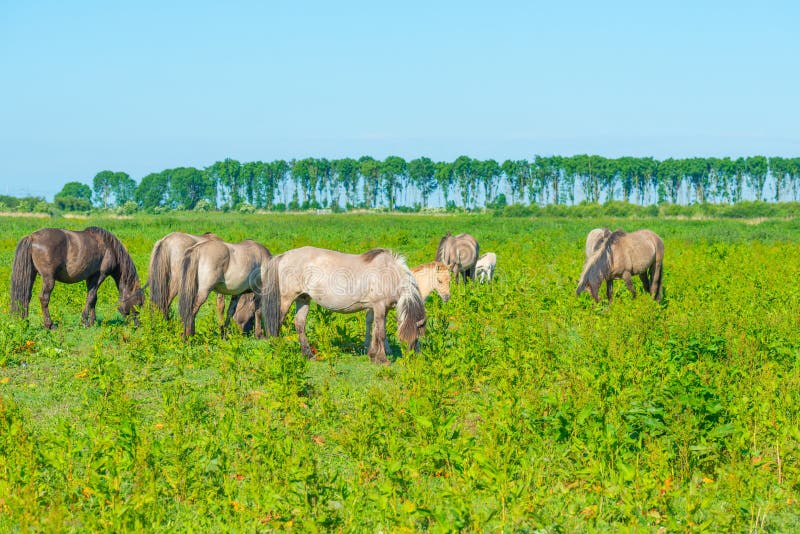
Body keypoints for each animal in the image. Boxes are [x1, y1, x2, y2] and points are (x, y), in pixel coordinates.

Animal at [10, 227, 144, 329]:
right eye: (139, 303)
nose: (137, 324)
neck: (109, 247)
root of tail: (32, 237)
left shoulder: (90, 277)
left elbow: (93, 298)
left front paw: (92, 322)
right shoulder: (100, 275)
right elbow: (91, 297)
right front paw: (85, 321)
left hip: (31, 274)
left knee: (26, 296)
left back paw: (25, 322)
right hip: (48, 279)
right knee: (44, 298)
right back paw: (50, 325)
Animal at [260, 246, 427, 364]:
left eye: (418, 337)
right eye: (412, 338)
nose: (413, 359)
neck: (389, 274)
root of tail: (283, 256)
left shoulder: (379, 308)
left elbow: (374, 330)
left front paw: (373, 355)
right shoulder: (379, 306)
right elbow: (381, 333)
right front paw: (382, 359)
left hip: (303, 298)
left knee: (299, 324)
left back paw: (308, 355)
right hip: (286, 299)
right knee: (276, 322)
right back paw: (277, 351)